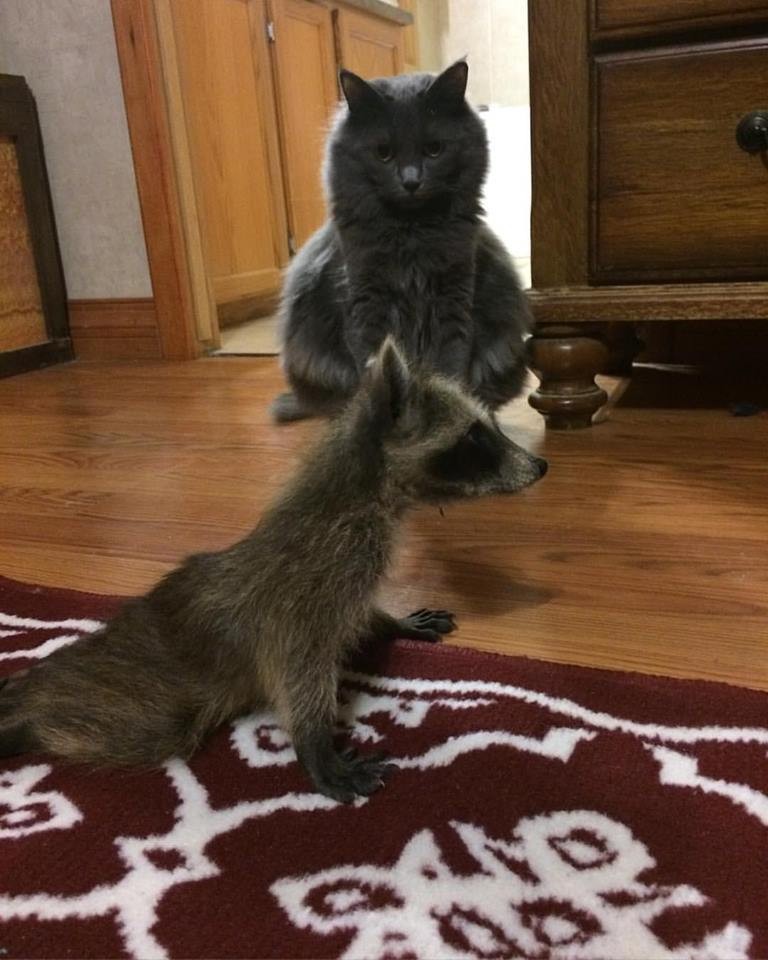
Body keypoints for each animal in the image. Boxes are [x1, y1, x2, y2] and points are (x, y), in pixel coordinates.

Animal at [0, 340, 546, 802]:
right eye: (474, 436)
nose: (541, 466)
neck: (364, 492)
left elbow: (356, 615)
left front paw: (389, 620)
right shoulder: (309, 586)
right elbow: (298, 667)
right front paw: (315, 743)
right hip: (140, 694)